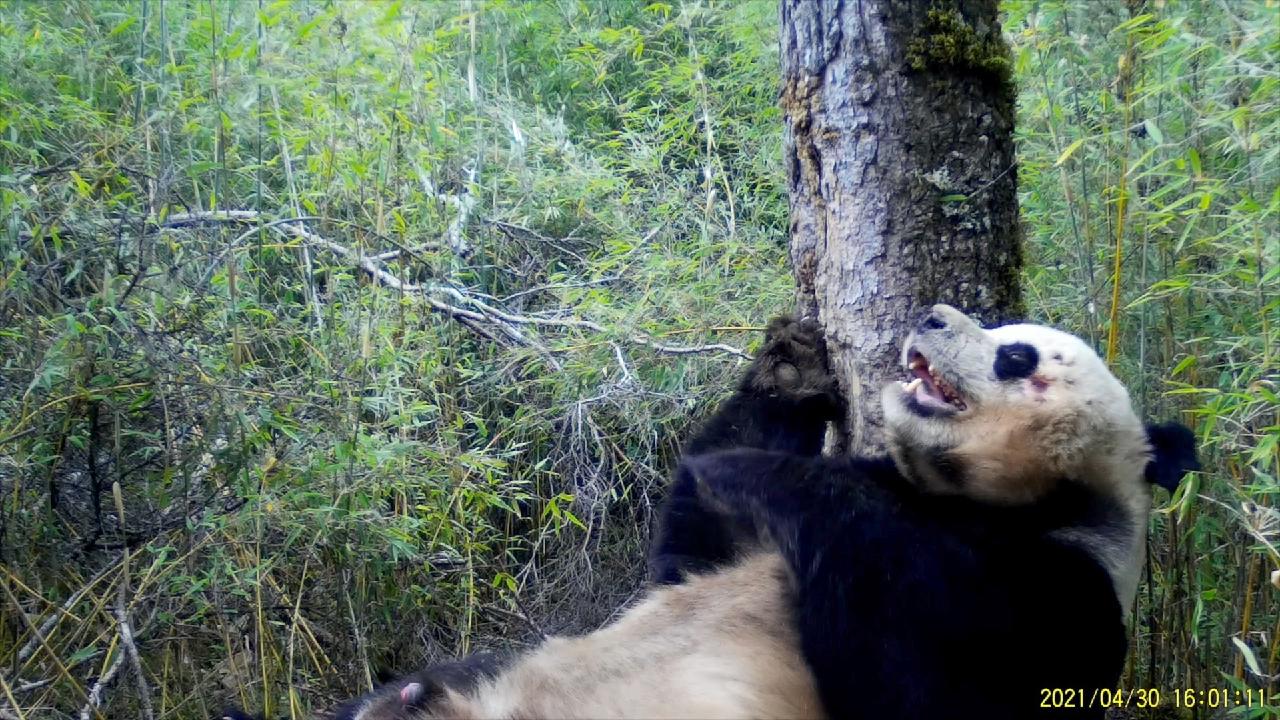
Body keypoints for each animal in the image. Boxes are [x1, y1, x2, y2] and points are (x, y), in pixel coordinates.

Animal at [319, 306, 1197, 720]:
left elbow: (919, 690)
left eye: (1016, 355)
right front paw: (791, 365)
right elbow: (687, 554)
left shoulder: (1058, 594)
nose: (933, 317)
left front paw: (769, 473)